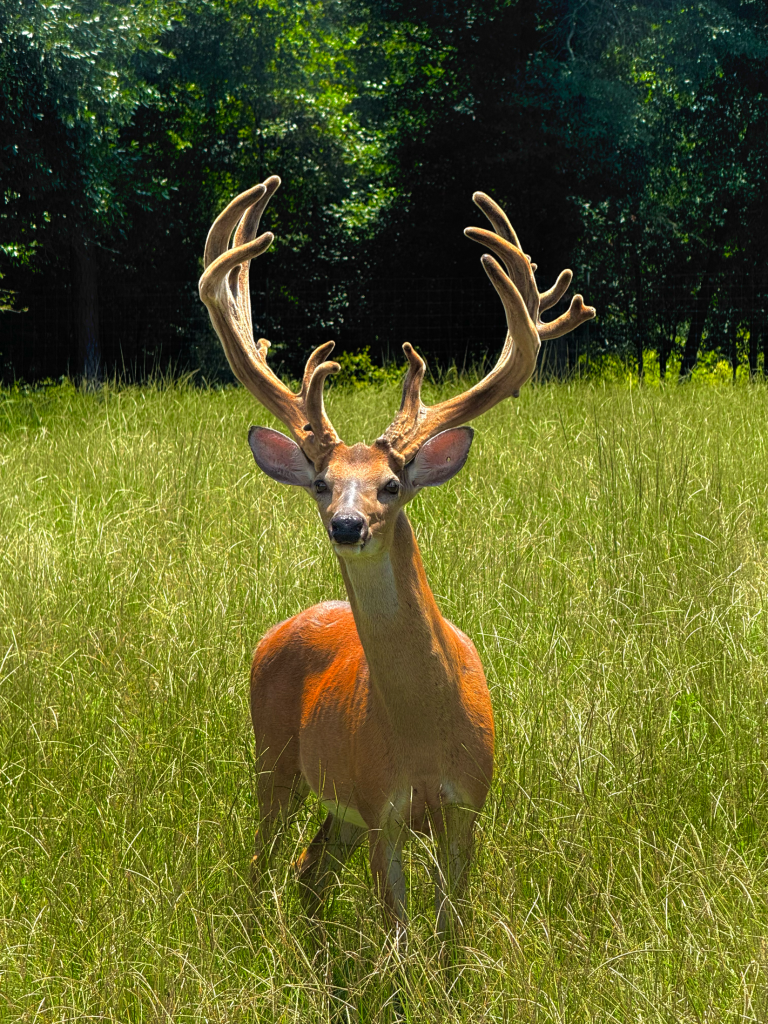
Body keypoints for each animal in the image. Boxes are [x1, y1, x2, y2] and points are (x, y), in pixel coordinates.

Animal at [198, 175, 595, 944]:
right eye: (322, 483)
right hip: (275, 757)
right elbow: (401, 934)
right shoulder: (382, 806)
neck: (422, 731)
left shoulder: (465, 808)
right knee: (265, 860)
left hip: (334, 802)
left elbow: (451, 935)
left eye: (390, 484)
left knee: (308, 869)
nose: (348, 524)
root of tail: (283, 627)